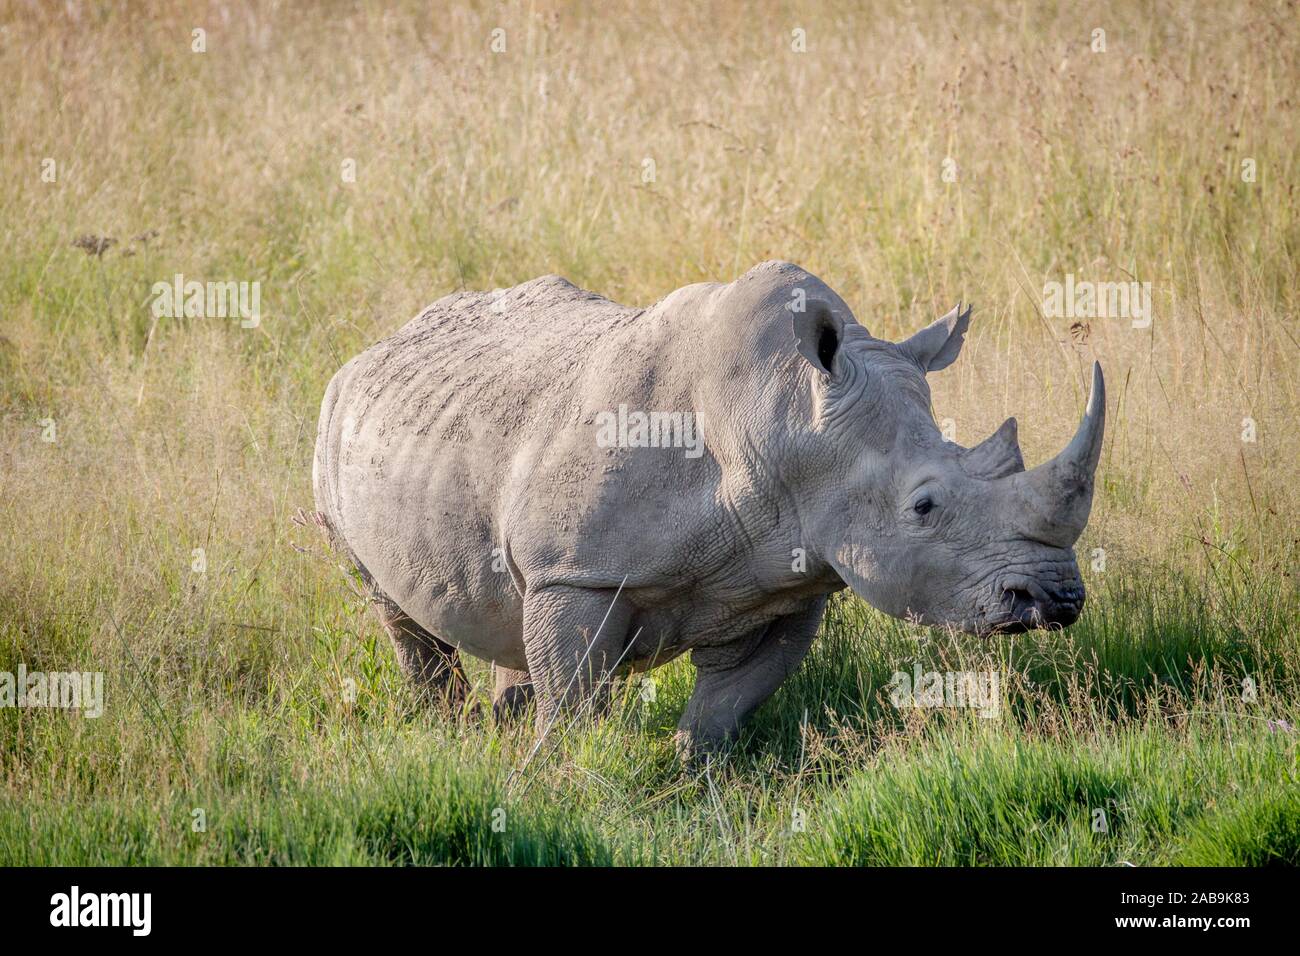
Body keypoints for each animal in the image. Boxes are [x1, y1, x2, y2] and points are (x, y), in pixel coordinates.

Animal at [312, 261, 1104, 755]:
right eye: (925, 506)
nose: (1057, 598)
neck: (785, 422)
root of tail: (381, 342)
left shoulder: (791, 582)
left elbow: (723, 711)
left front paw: (697, 778)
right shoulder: (576, 571)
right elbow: (574, 705)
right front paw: (556, 777)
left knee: (508, 605)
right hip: (334, 426)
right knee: (390, 604)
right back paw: (445, 727)